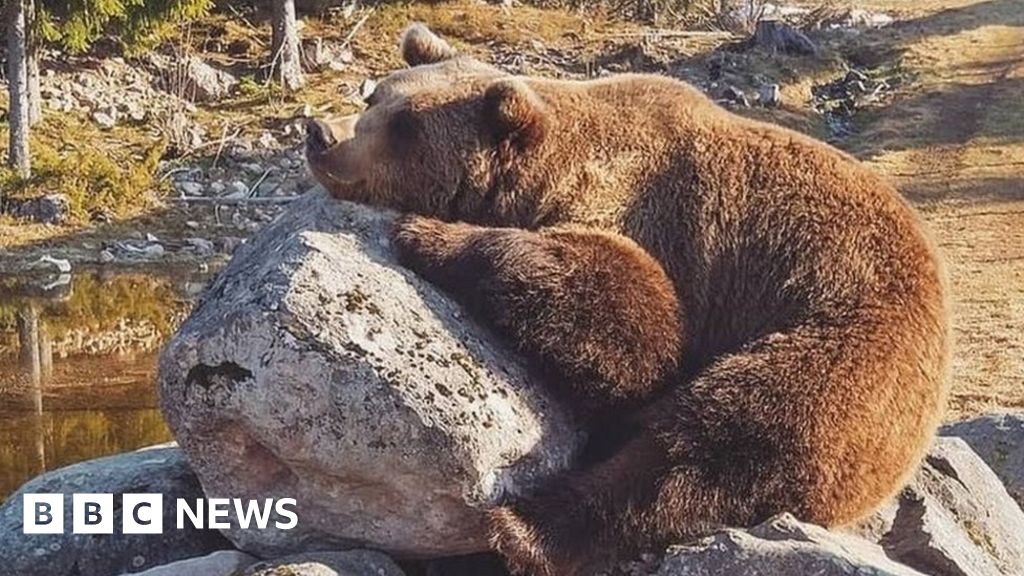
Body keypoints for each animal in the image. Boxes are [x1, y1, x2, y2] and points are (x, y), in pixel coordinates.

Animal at [305, 23, 950, 576]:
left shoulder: (652, 217)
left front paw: (427, 233)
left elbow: (639, 327)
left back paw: (526, 529)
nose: (322, 132)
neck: (545, 175)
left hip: (846, 351)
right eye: (376, 97)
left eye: (405, 126)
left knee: (715, 443)